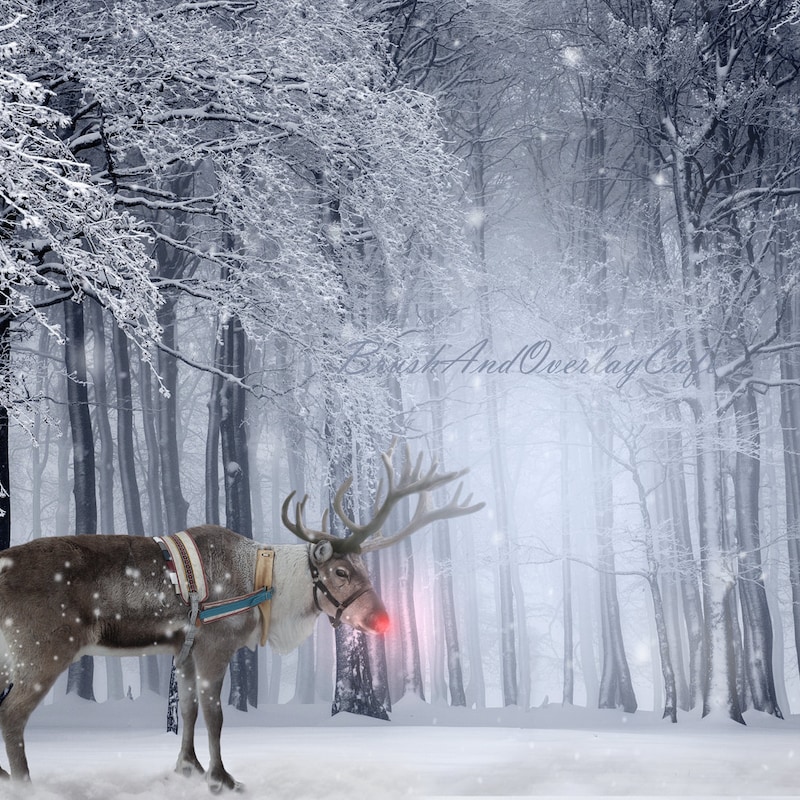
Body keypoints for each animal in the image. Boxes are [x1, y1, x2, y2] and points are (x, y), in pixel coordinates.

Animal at [0, 442, 483, 792]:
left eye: (366, 568)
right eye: (342, 572)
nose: (383, 621)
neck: (266, 583)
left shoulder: (184, 650)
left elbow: (190, 709)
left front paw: (188, 769)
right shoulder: (217, 642)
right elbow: (215, 714)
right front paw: (222, 778)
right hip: (43, 648)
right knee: (13, 715)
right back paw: (25, 785)